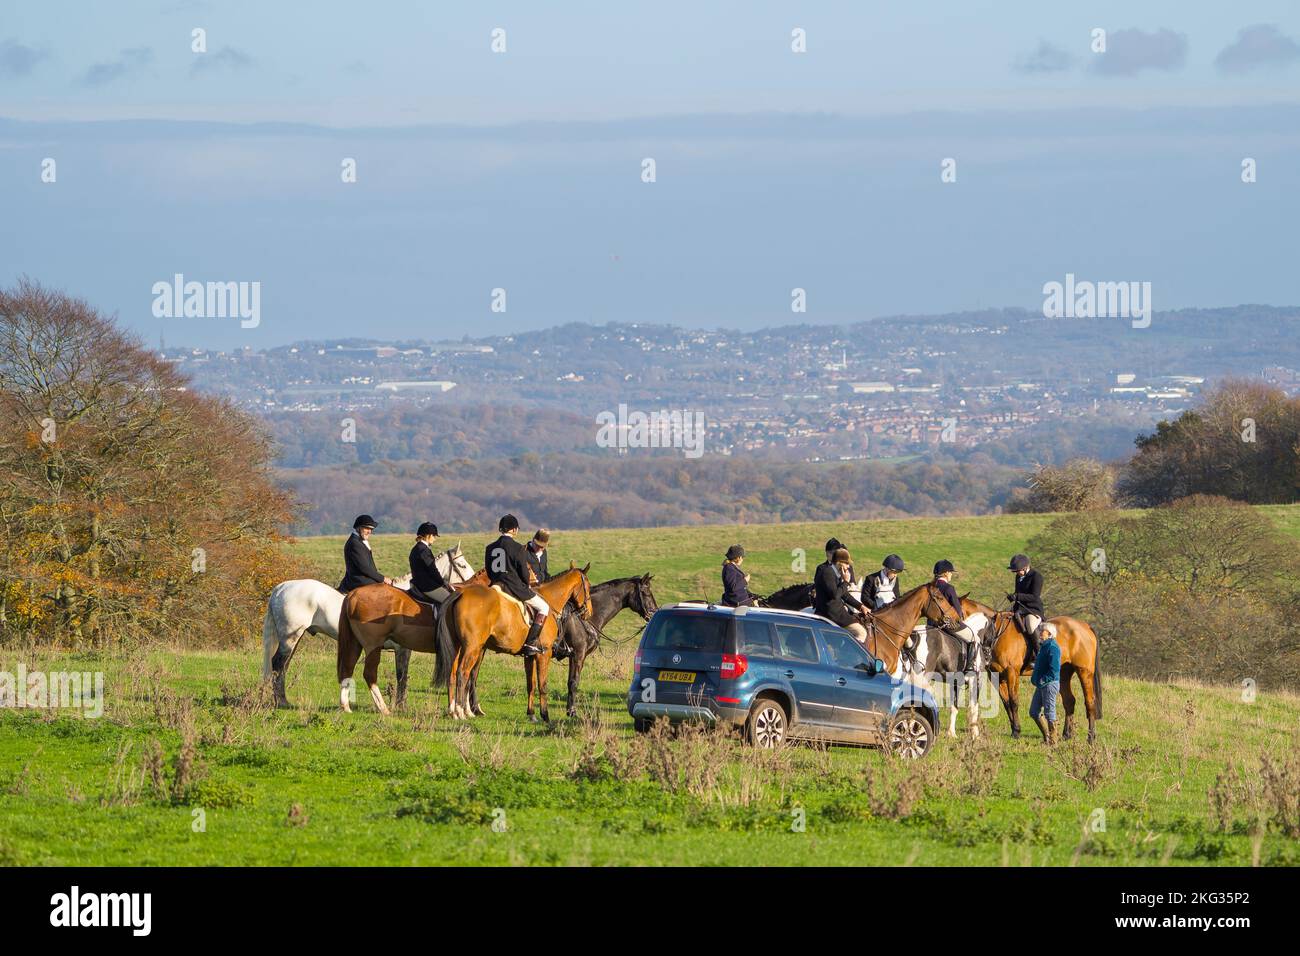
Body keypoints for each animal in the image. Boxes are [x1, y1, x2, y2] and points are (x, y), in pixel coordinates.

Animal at [261, 543, 476, 707]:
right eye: (462, 565)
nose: (474, 585)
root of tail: (281, 587)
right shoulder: (402, 648)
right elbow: (402, 676)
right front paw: (401, 706)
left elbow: (402, 676)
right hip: (291, 636)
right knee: (278, 664)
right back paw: (281, 702)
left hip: (294, 638)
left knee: (283, 666)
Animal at [439, 565, 593, 723]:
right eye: (588, 586)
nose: (588, 613)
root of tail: (461, 592)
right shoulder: (544, 654)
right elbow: (543, 685)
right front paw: (545, 716)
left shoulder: (530, 655)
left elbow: (531, 684)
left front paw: (531, 714)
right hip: (472, 648)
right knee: (463, 673)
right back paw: (460, 712)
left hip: (459, 647)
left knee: (453, 673)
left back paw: (453, 711)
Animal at [553, 574, 659, 717]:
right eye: (646, 592)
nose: (654, 613)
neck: (583, 617)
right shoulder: (577, 655)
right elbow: (573, 682)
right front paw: (571, 711)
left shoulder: (574, 656)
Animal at [959, 596, 1102, 743]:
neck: (997, 632)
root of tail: (1085, 626)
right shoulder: (996, 676)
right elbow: (1006, 703)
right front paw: (1014, 729)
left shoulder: (1012, 672)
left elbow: (1013, 701)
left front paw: (1016, 731)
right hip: (1063, 673)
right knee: (1069, 701)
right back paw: (1066, 735)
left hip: (1084, 671)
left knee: (1089, 701)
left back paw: (1091, 737)